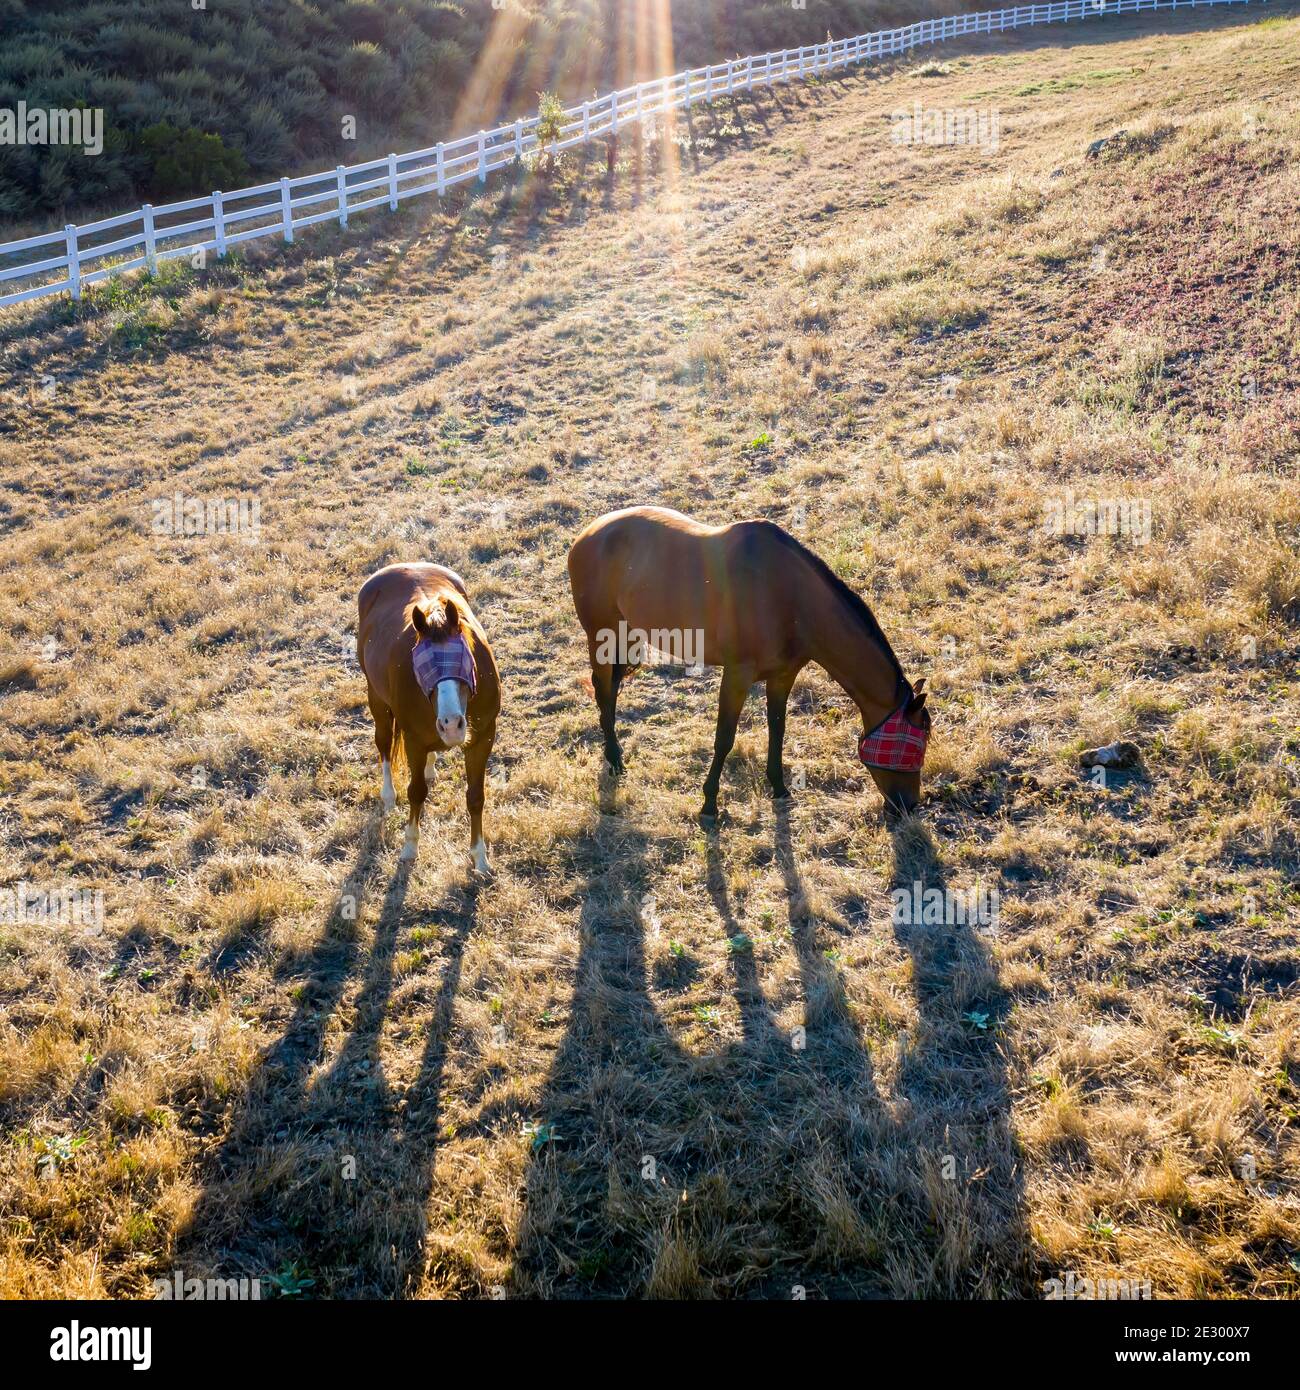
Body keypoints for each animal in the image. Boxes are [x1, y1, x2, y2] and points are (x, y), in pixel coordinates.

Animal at [357, 563, 500, 871]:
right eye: (423, 666)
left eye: (464, 658)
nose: (451, 725)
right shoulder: (414, 741)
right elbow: (416, 792)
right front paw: (410, 847)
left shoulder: (483, 737)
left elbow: (475, 796)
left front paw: (480, 858)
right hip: (376, 700)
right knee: (384, 745)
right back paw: (389, 796)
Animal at [566, 507, 930, 821]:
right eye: (908, 748)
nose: (908, 806)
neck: (789, 598)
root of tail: (587, 534)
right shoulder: (737, 675)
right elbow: (724, 738)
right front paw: (709, 804)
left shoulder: (783, 675)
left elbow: (777, 729)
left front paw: (780, 788)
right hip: (601, 635)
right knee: (603, 691)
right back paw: (614, 758)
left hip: (628, 635)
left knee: (611, 687)